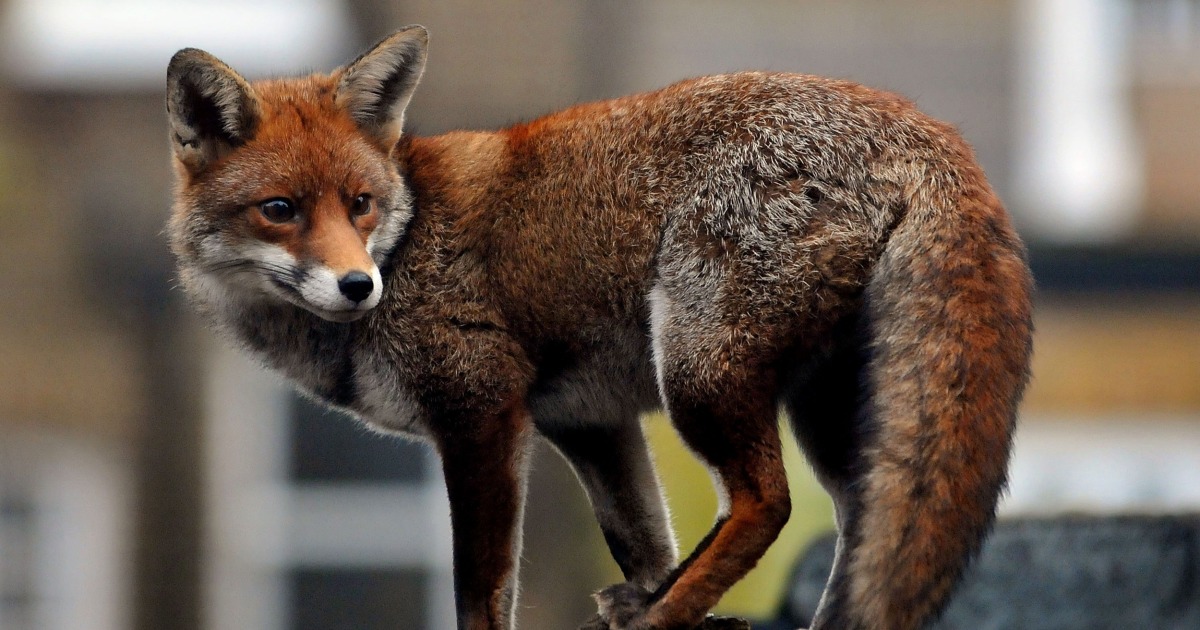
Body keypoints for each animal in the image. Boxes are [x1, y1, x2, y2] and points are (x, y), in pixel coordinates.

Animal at [165, 25, 1033, 630]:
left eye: (359, 205)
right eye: (281, 210)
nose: (357, 286)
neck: (409, 241)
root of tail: (922, 126)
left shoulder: (482, 414)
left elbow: (480, 593)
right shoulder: (589, 424)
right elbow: (645, 542)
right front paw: (674, 599)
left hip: (700, 370)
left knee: (767, 504)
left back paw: (662, 615)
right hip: (840, 420)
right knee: (863, 536)